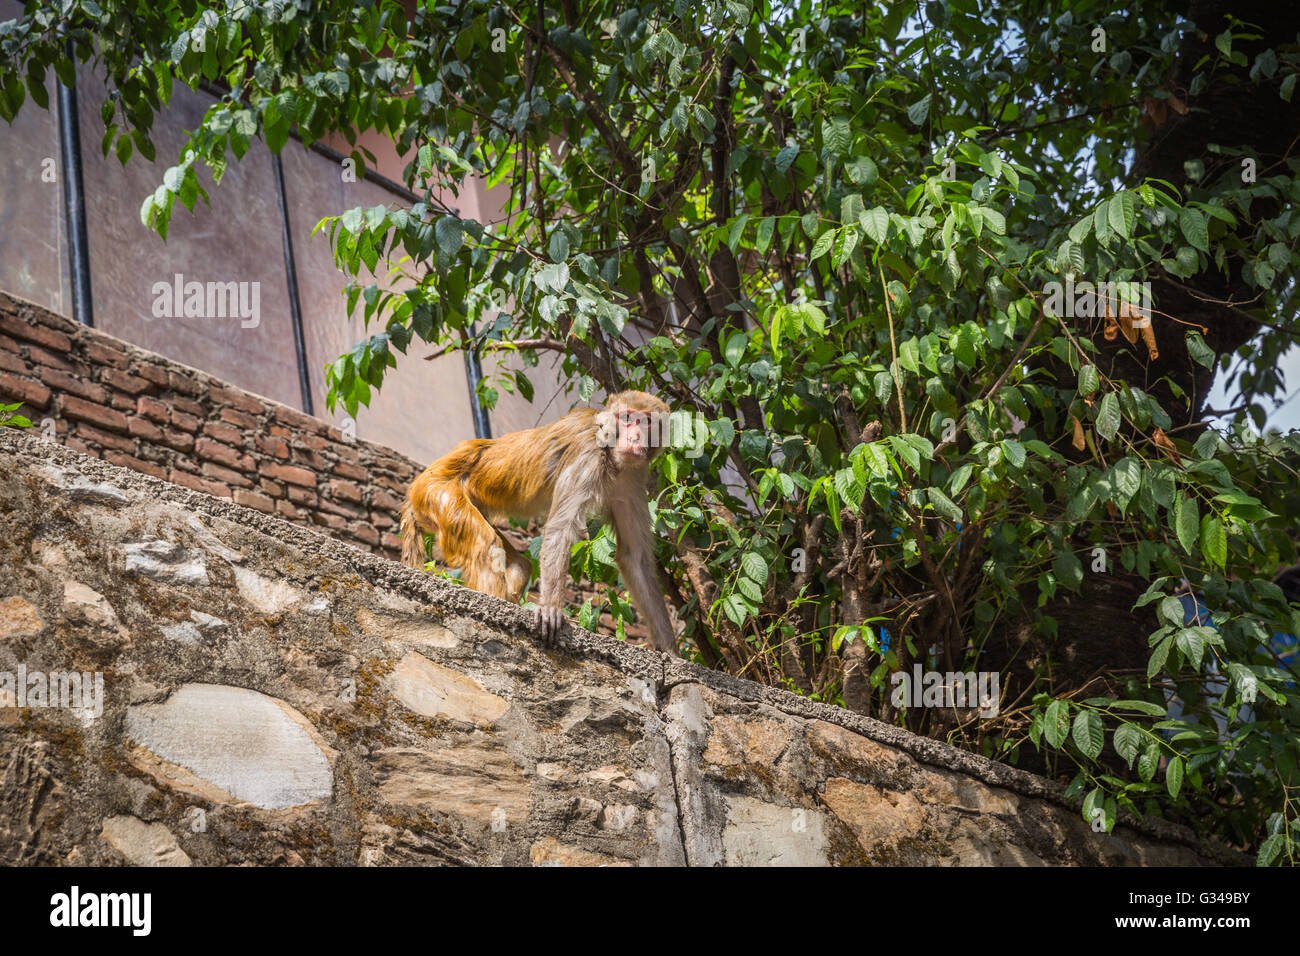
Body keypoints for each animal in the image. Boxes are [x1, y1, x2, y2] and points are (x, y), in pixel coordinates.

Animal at [400, 389, 678, 655]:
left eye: (646, 421)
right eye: (627, 417)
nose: (635, 437)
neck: (611, 458)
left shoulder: (633, 478)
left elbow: (635, 557)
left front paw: (672, 653)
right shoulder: (587, 455)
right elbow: (560, 529)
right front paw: (552, 609)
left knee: (519, 565)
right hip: (438, 492)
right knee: (486, 546)